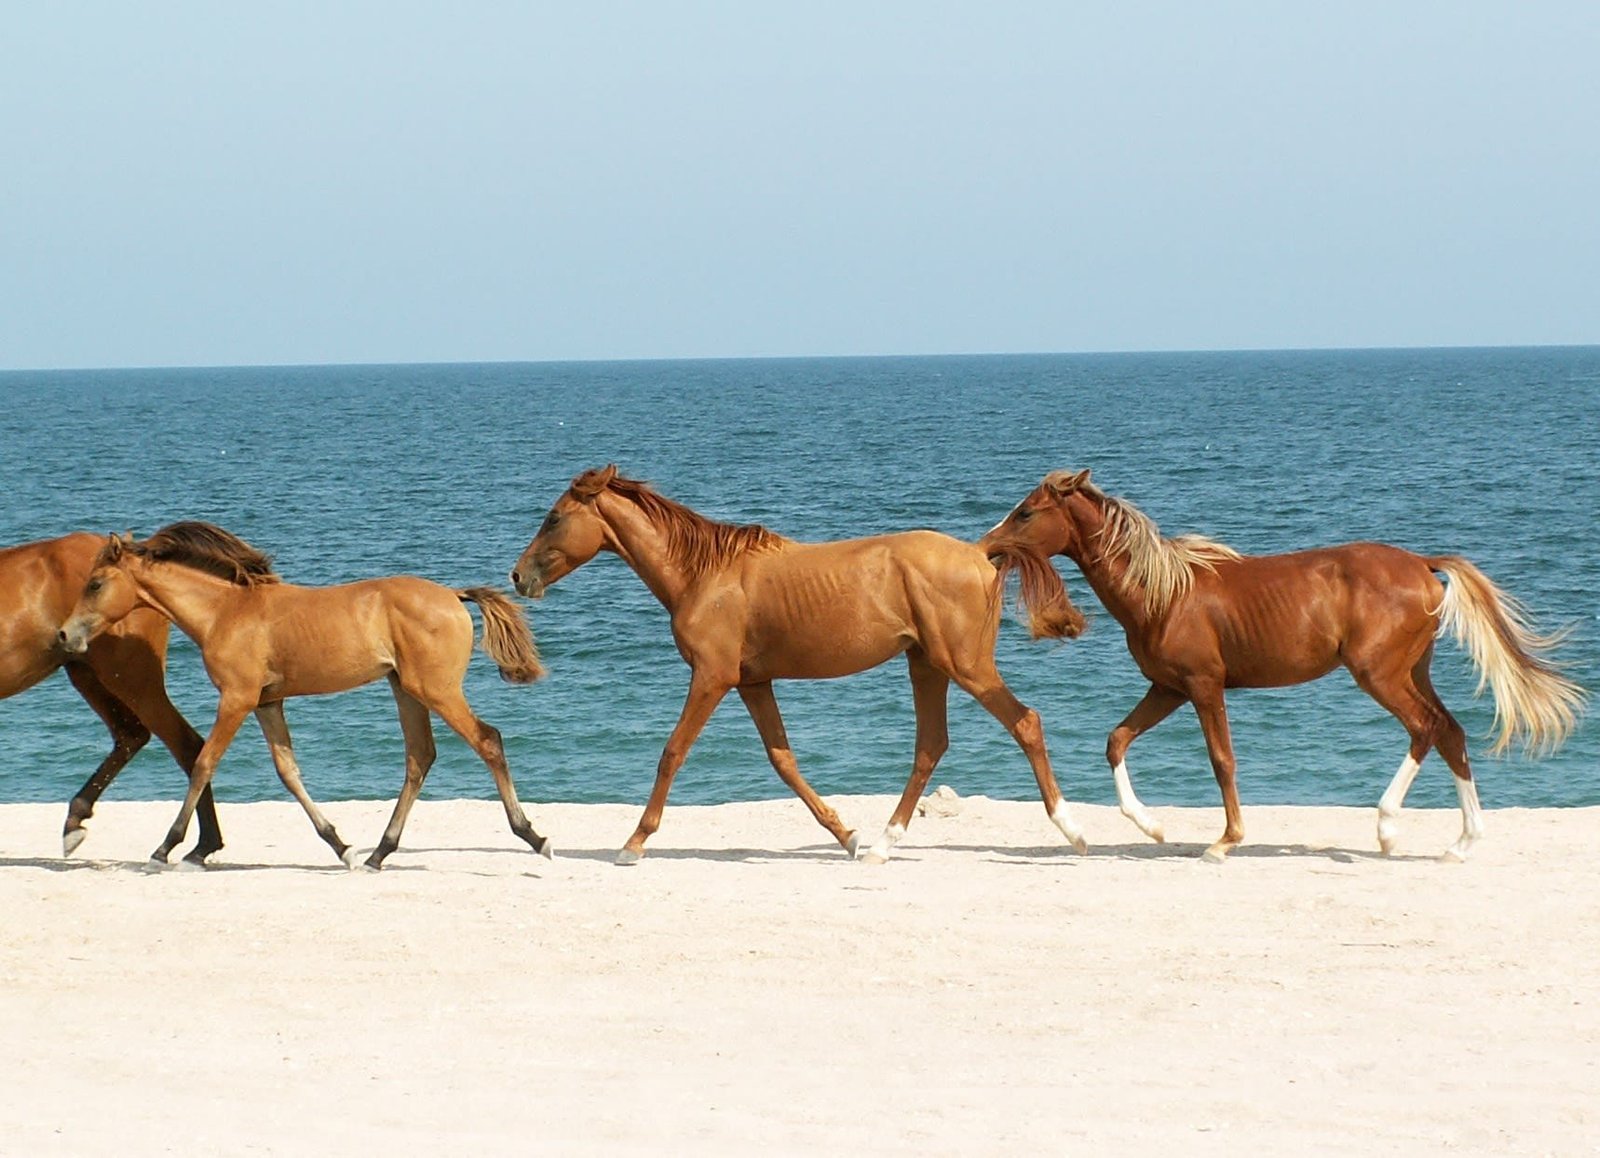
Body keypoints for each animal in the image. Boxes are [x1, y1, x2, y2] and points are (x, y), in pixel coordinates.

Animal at [1, 532, 222, 861]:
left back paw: (196, 846)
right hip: (87, 675)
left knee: (186, 745)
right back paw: (76, 820)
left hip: (133, 681)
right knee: (131, 735)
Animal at [57, 522, 550, 870]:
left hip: (436, 690)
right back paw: (378, 854)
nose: (64, 634)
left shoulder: (236, 699)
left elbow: (203, 763)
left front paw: (170, 848)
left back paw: (535, 837)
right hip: (406, 689)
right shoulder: (266, 703)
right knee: (419, 758)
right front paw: (341, 846)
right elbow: (288, 772)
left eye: (96, 583)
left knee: (487, 741)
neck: (224, 613)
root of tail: (452, 595)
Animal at [510, 464, 1089, 864]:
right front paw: (846, 835)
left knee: (1025, 723)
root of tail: (978, 555)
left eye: (554, 517)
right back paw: (880, 845)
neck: (703, 574)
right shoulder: (753, 682)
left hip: (965, 665)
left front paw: (633, 843)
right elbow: (783, 761)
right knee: (931, 746)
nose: (518, 576)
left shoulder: (711, 678)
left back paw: (1073, 831)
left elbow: (672, 753)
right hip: (926, 665)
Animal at [979, 468, 1586, 863]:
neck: (1163, 593)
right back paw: (1460, 844)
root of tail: (1421, 564)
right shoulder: (1167, 688)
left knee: (1426, 728)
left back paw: (1388, 830)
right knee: (1452, 733)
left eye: (1026, 511)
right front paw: (1152, 827)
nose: (986, 547)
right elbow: (1117, 741)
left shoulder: (1204, 686)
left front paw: (1224, 841)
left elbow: (1222, 760)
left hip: (1380, 674)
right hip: (1414, 671)